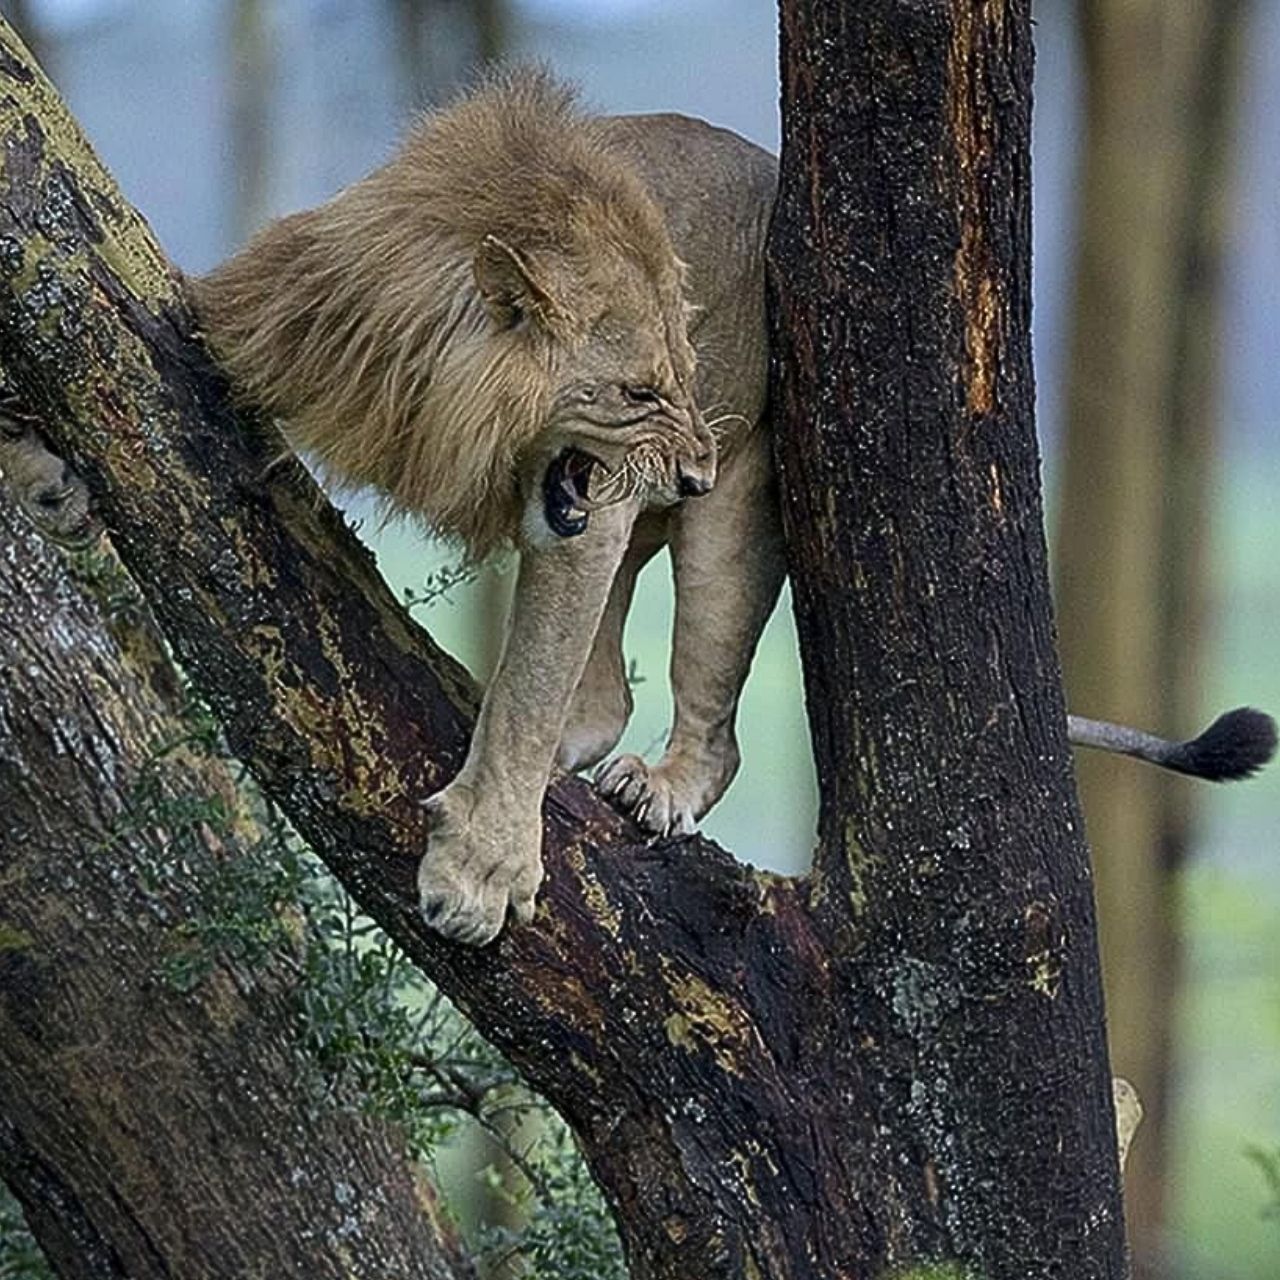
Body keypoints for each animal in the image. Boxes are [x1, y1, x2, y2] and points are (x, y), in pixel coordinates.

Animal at [195, 69, 1275, 947]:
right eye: (637, 389)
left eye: (682, 368)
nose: (693, 472)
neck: (433, 404)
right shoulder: (269, 323)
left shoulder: (589, 518)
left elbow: (526, 696)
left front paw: (480, 873)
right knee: (603, 692)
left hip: (739, 520)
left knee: (705, 726)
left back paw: (653, 785)